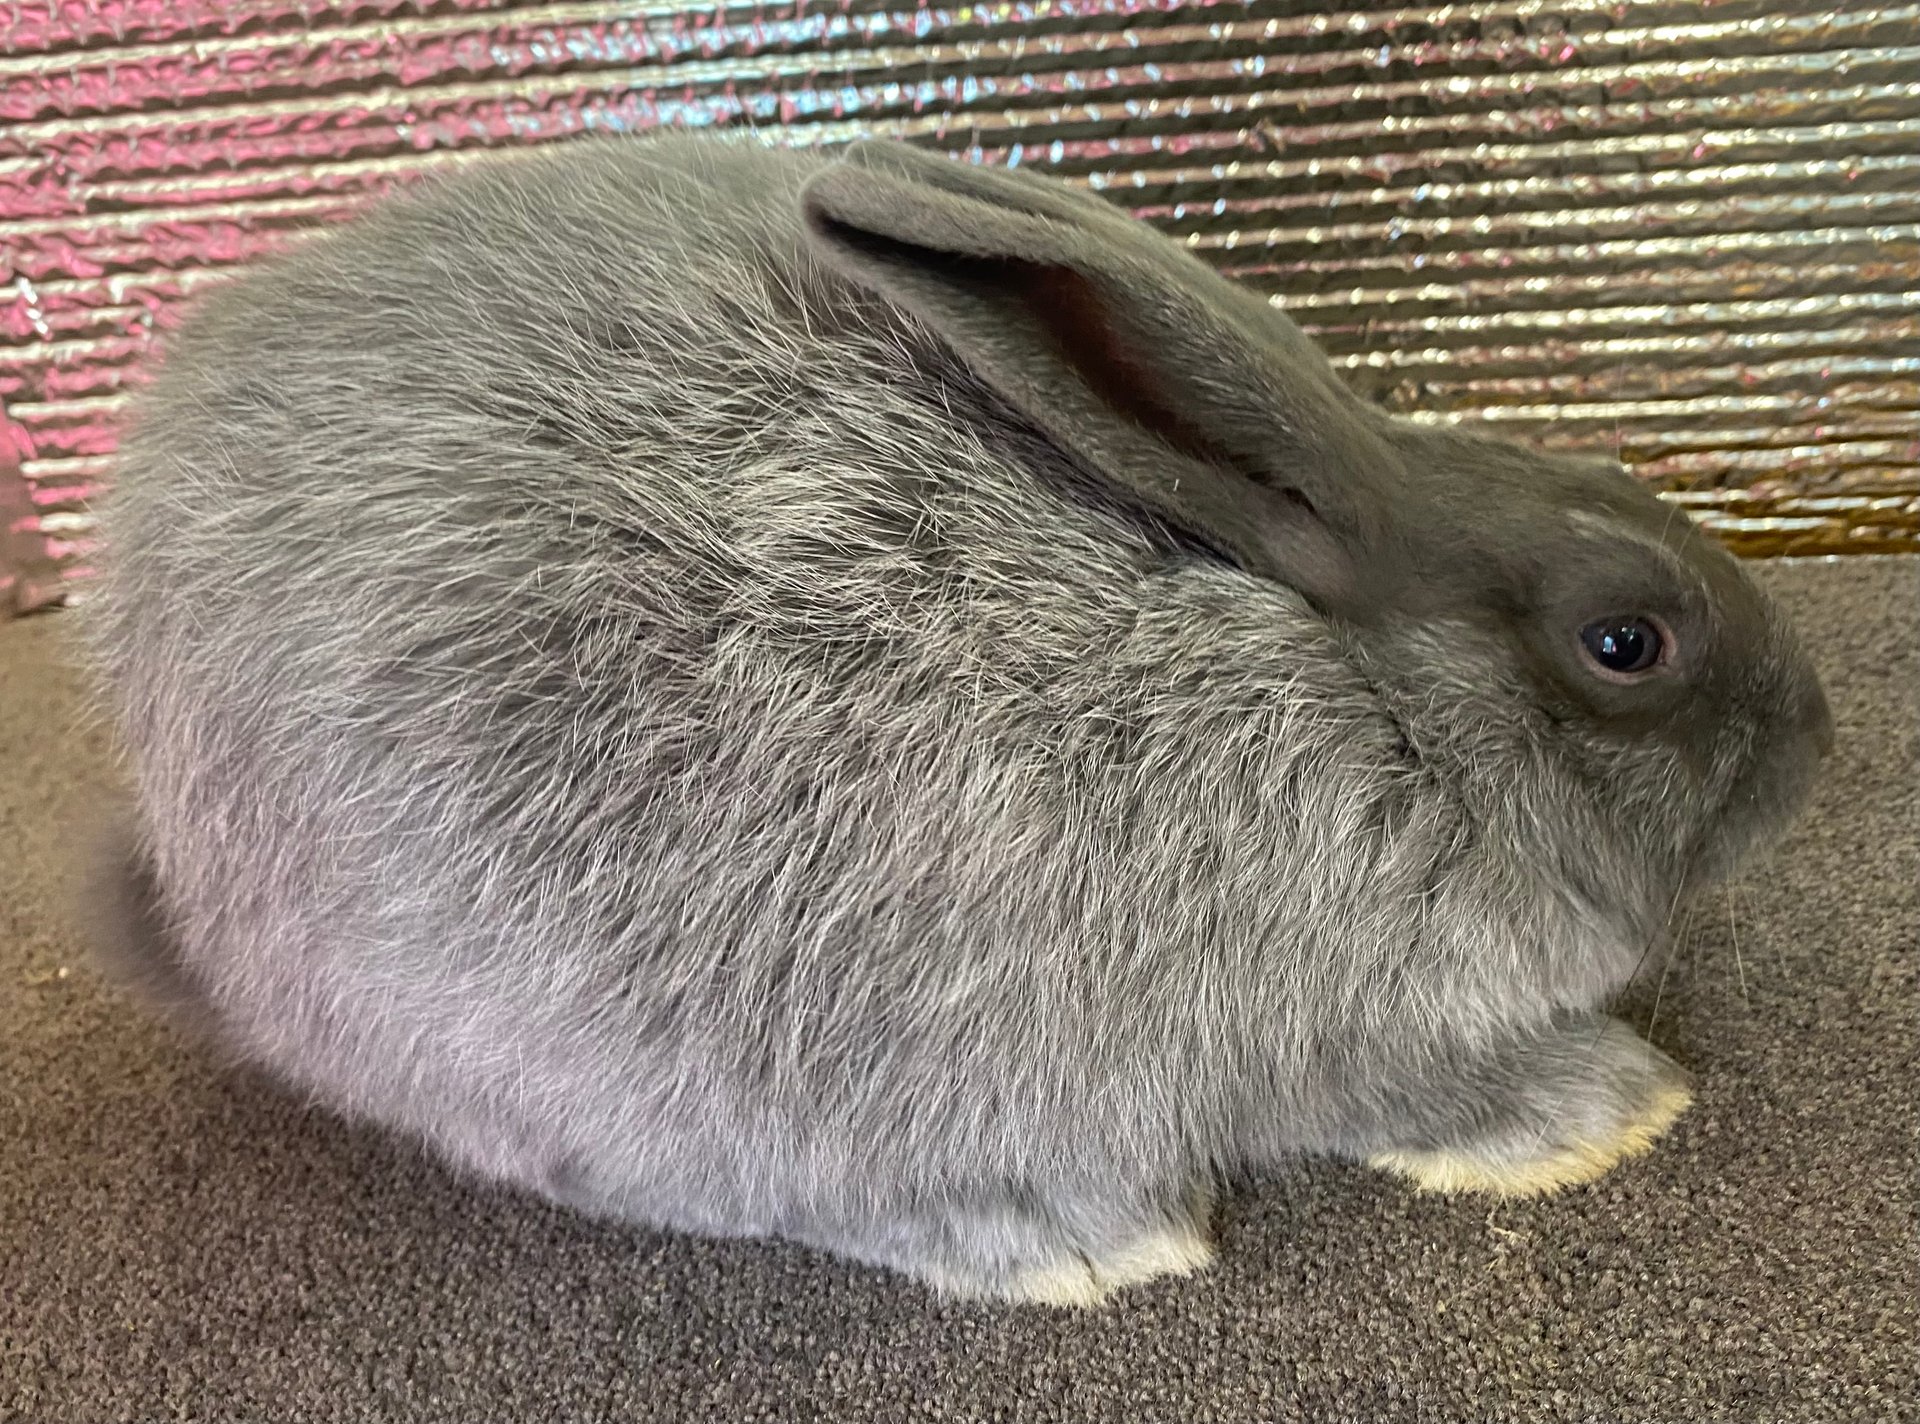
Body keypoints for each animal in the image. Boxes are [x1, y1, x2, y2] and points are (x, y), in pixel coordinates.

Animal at [82, 132, 1833, 1307]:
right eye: (1626, 641)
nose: (1815, 738)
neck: (1377, 706)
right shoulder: (1326, 1032)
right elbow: (1403, 1095)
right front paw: (1605, 1108)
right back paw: (1067, 1239)